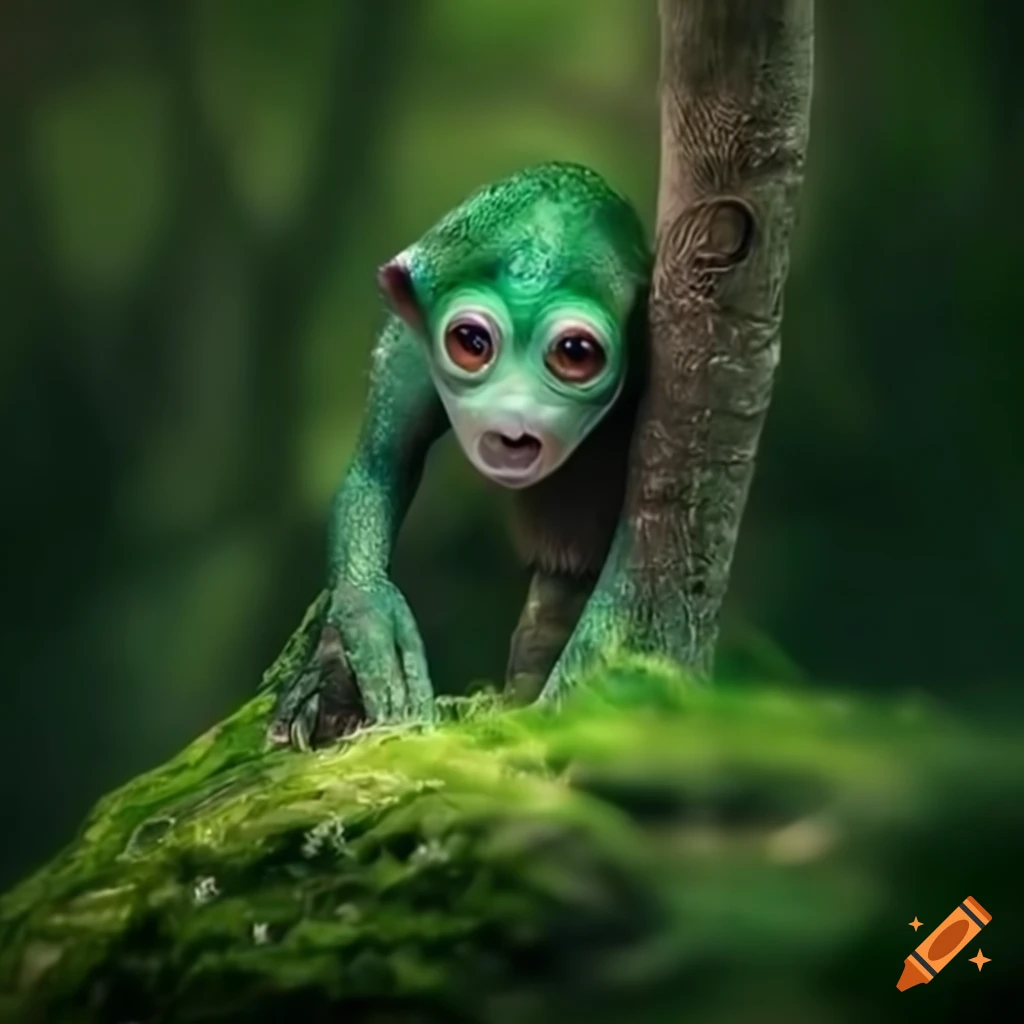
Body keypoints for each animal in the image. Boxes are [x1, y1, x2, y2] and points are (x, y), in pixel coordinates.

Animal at [267, 162, 652, 749]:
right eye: (471, 342)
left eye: (575, 353)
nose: (514, 418)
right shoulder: (409, 347)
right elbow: (380, 467)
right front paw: (372, 623)